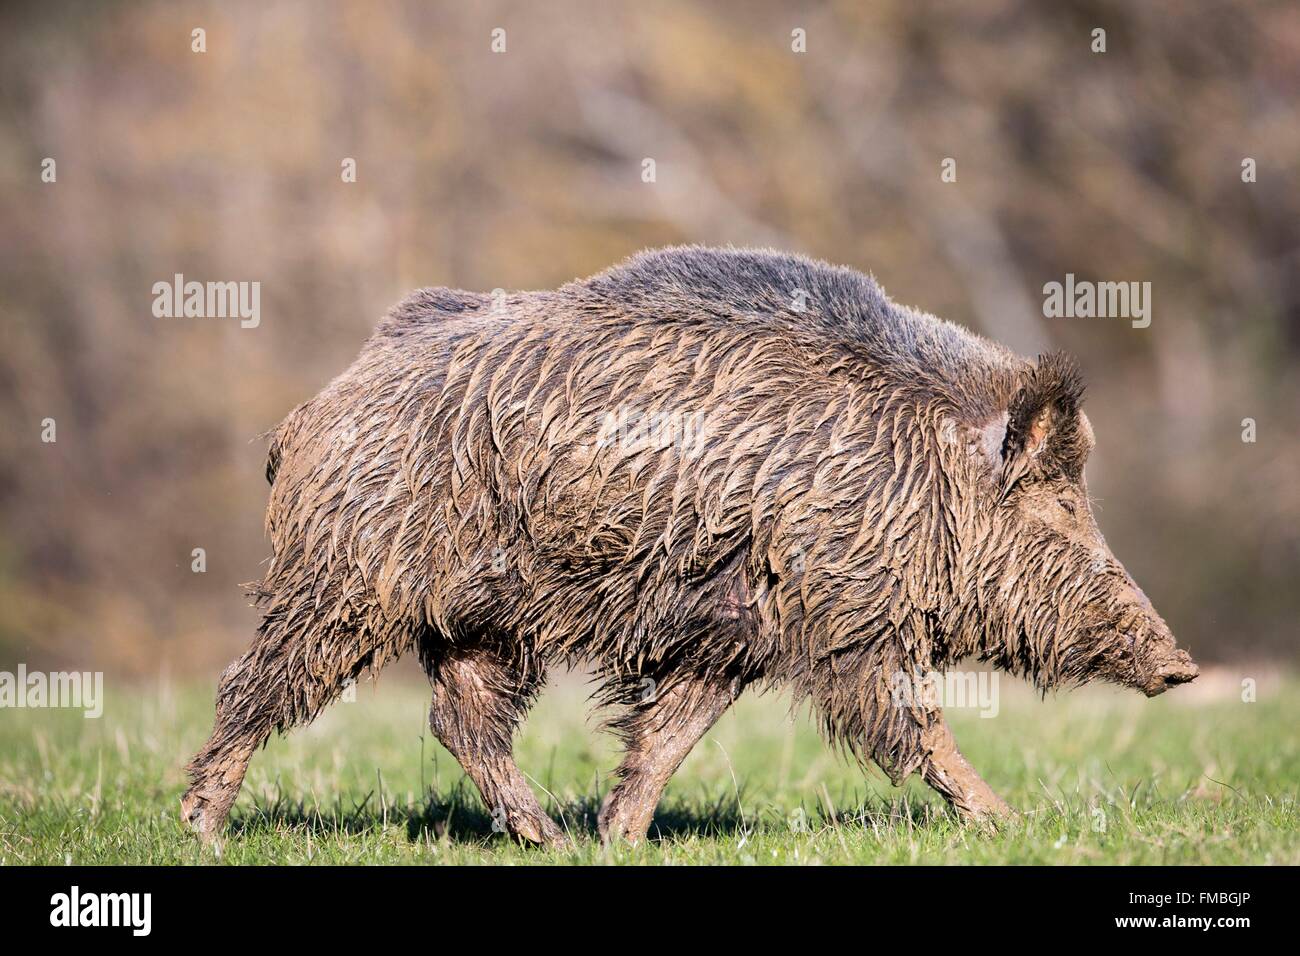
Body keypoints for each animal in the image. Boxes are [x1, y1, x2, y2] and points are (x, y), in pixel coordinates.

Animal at [181, 246, 1198, 847]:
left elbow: (669, 736)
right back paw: (201, 830)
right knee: (252, 688)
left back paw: (551, 840)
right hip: (341, 584)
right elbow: (918, 729)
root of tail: (316, 411)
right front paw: (1011, 824)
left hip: (487, 623)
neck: (916, 471)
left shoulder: (733, 634)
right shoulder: (849, 622)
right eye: (1058, 507)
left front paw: (621, 838)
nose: (1180, 665)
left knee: (459, 718)